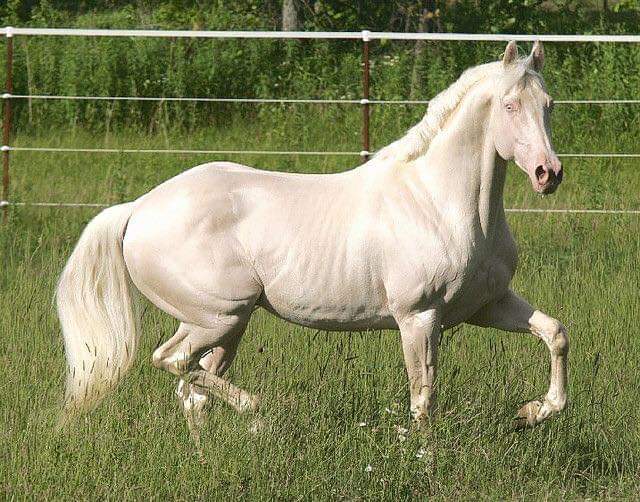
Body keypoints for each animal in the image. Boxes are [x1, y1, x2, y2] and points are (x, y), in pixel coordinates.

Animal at [57, 41, 568, 432]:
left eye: (548, 105)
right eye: (509, 105)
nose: (548, 174)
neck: (438, 202)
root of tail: (137, 209)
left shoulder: (487, 305)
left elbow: (555, 333)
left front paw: (533, 412)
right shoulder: (419, 318)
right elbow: (424, 399)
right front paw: (424, 457)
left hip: (227, 325)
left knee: (192, 387)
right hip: (215, 317)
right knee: (174, 362)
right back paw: (254, 410)